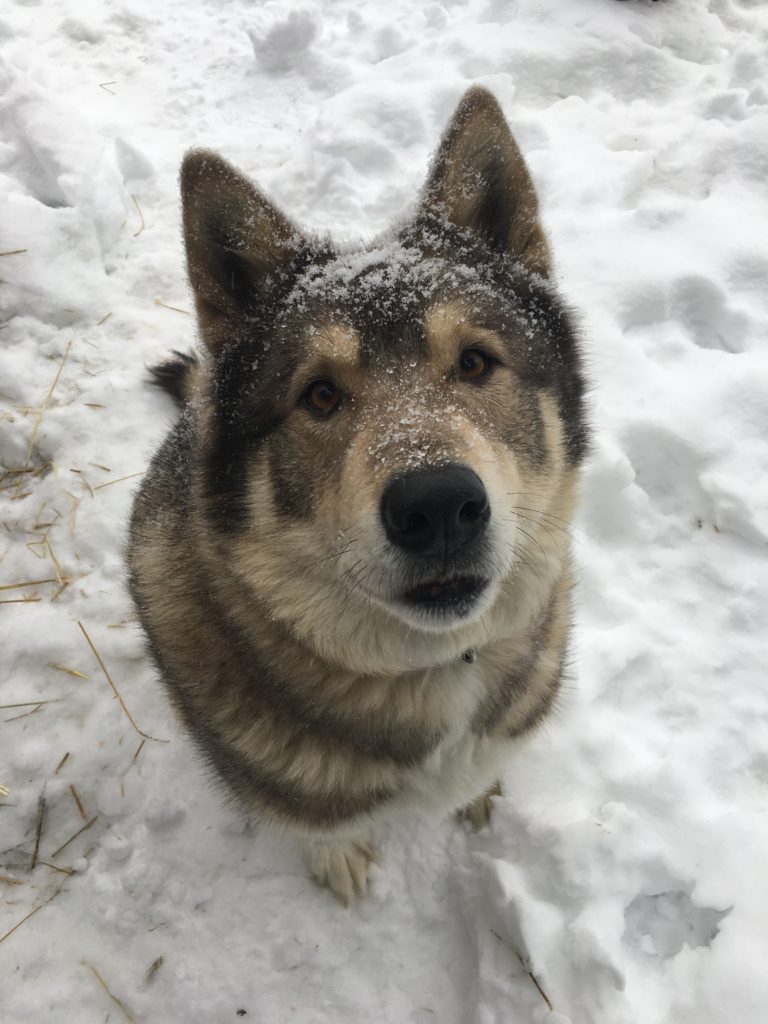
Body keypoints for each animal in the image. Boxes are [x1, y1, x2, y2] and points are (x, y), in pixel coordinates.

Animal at [128, 86, 588, 904]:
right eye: (319, 395)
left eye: (475, 362)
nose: (437, 507)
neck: (437, 669)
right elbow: (319, 827)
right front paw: (338, 857)